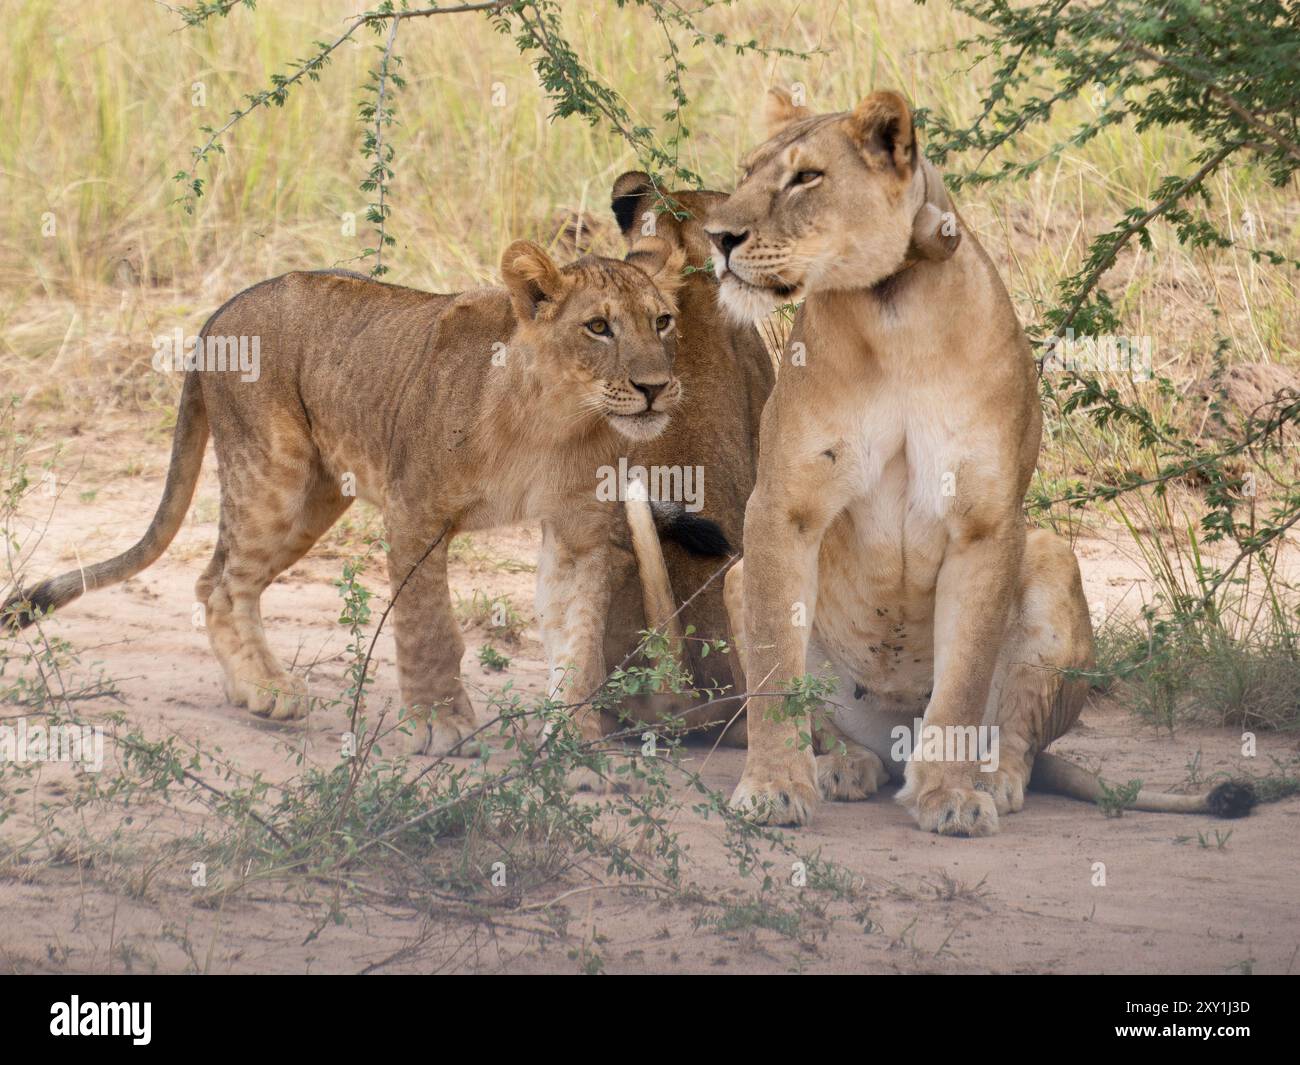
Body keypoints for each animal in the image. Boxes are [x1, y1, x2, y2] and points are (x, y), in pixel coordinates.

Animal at [4, 238, 687, 756]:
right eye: (598, 327)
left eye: (663, 321)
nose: (656, 387)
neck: (554, 421)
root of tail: (220, 311)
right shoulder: (417, 513)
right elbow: (427, 627)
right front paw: (440, 724)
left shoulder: (580, 532)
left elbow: (579, 640)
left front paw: (576, 740)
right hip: (272, 475)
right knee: (226, 584)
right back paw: (268, 692)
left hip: (317, 499)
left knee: (211, 578)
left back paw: (246, 685)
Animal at [705, 88, 1253, 833]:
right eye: (746, 172)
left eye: (806, 177)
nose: (716, 236)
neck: (892, 310)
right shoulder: (783, 506)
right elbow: (773, 669)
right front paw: (772, 788)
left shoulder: (988, 518)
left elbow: (963, 677)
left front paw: (950, 796)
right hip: (739, 577)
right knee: (829, 715)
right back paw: (845, 765)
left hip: (1052, 556)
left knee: (1021, 735)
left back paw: (991, 778)